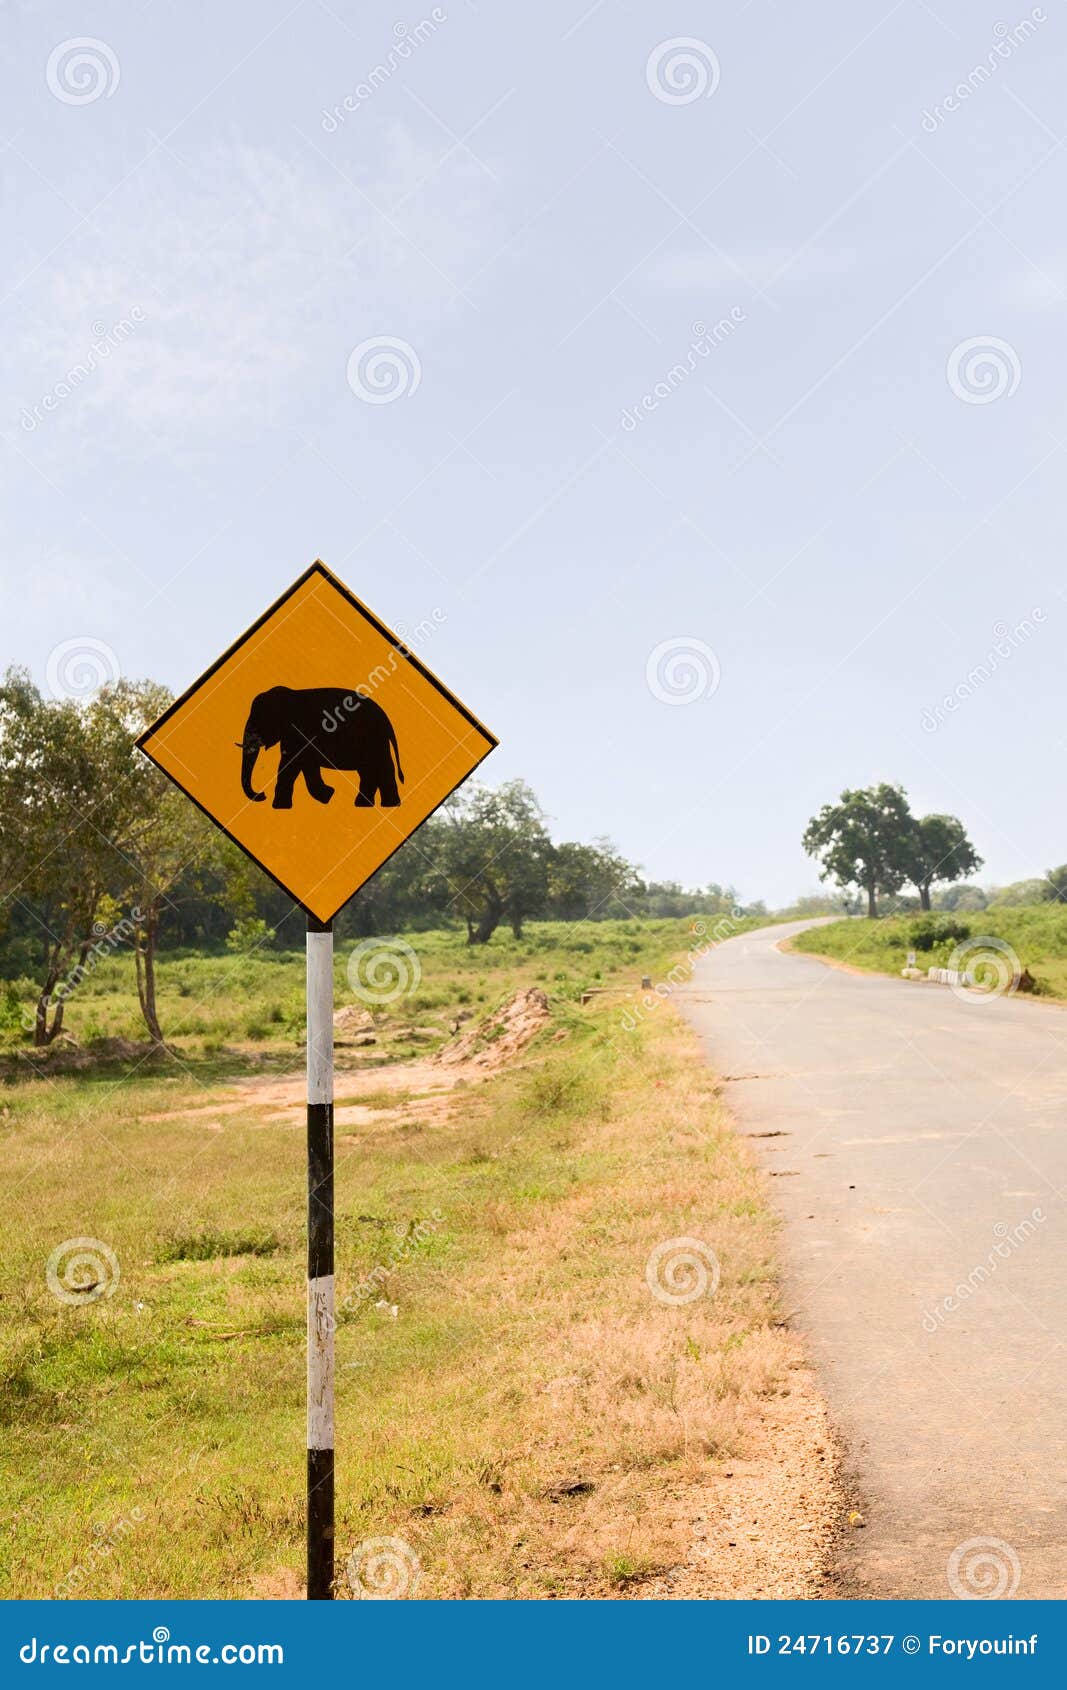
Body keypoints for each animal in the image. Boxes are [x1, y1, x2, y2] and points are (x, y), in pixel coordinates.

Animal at [239, 685, 404, 810]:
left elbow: (291, 765)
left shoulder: (299, 732)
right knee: (368, 770)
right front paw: (328, 795)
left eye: (259, 722)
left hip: (375, 740)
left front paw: (280, 807)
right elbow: (305, 764)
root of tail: (386, 719)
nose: (262, 795)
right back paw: (364, 805)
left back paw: (387, 805)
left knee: (381, 768)